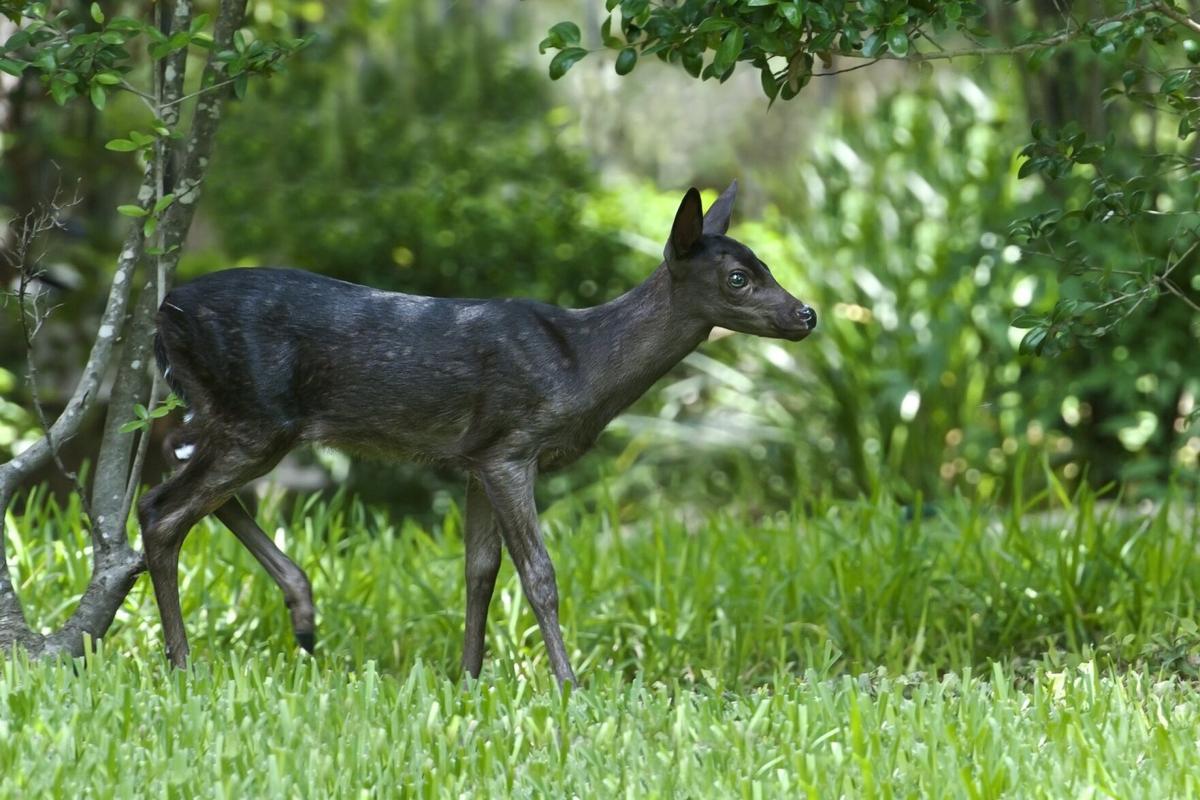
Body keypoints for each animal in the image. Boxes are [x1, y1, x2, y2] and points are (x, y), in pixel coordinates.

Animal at [138, 181, 816, 685]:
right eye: (738, 278)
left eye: (766, 264)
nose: (805, 314)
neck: (583, 362)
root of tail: (163, 314)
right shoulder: (511, 446)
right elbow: (538, 574)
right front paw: (569, 685)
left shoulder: (474, 457)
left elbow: (479, 571)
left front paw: (467, 676)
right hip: (255, 412)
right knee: (161, 508)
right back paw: (182, 663)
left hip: (234, 412)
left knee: (181, 474)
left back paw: (298, 614)